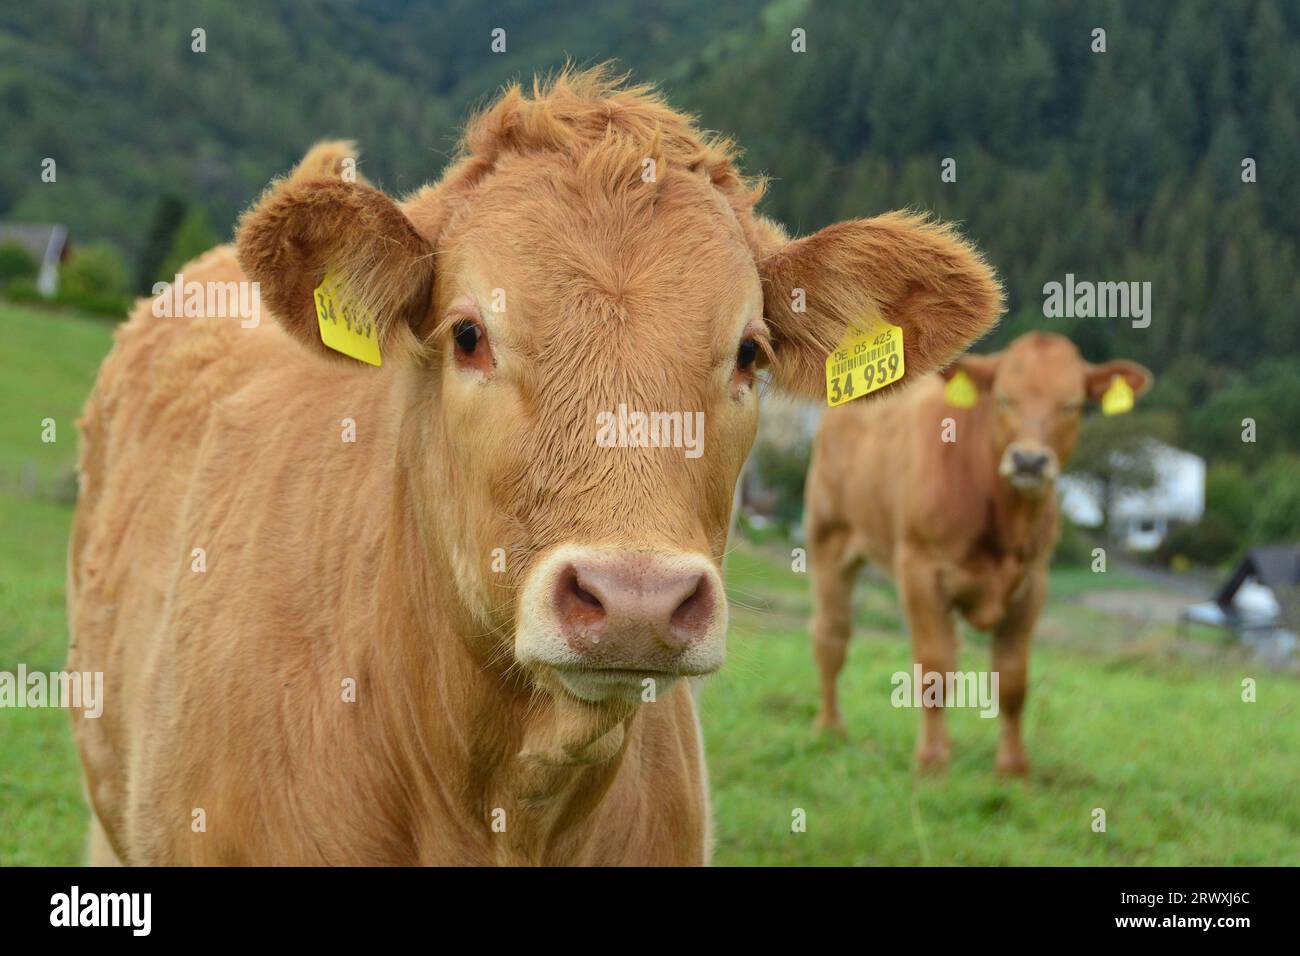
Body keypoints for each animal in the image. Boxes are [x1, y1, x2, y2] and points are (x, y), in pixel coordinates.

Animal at [805, 331, 1151, 775]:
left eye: (1071, 404)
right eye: (1003, 399)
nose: (1029, 460)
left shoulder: (1032, 584)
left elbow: (1013, 679)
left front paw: (1013, 766)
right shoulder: (920, 570)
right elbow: (934, 670)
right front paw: (931, 761)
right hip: (829, 541)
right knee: (831, 637)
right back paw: (830, 727)